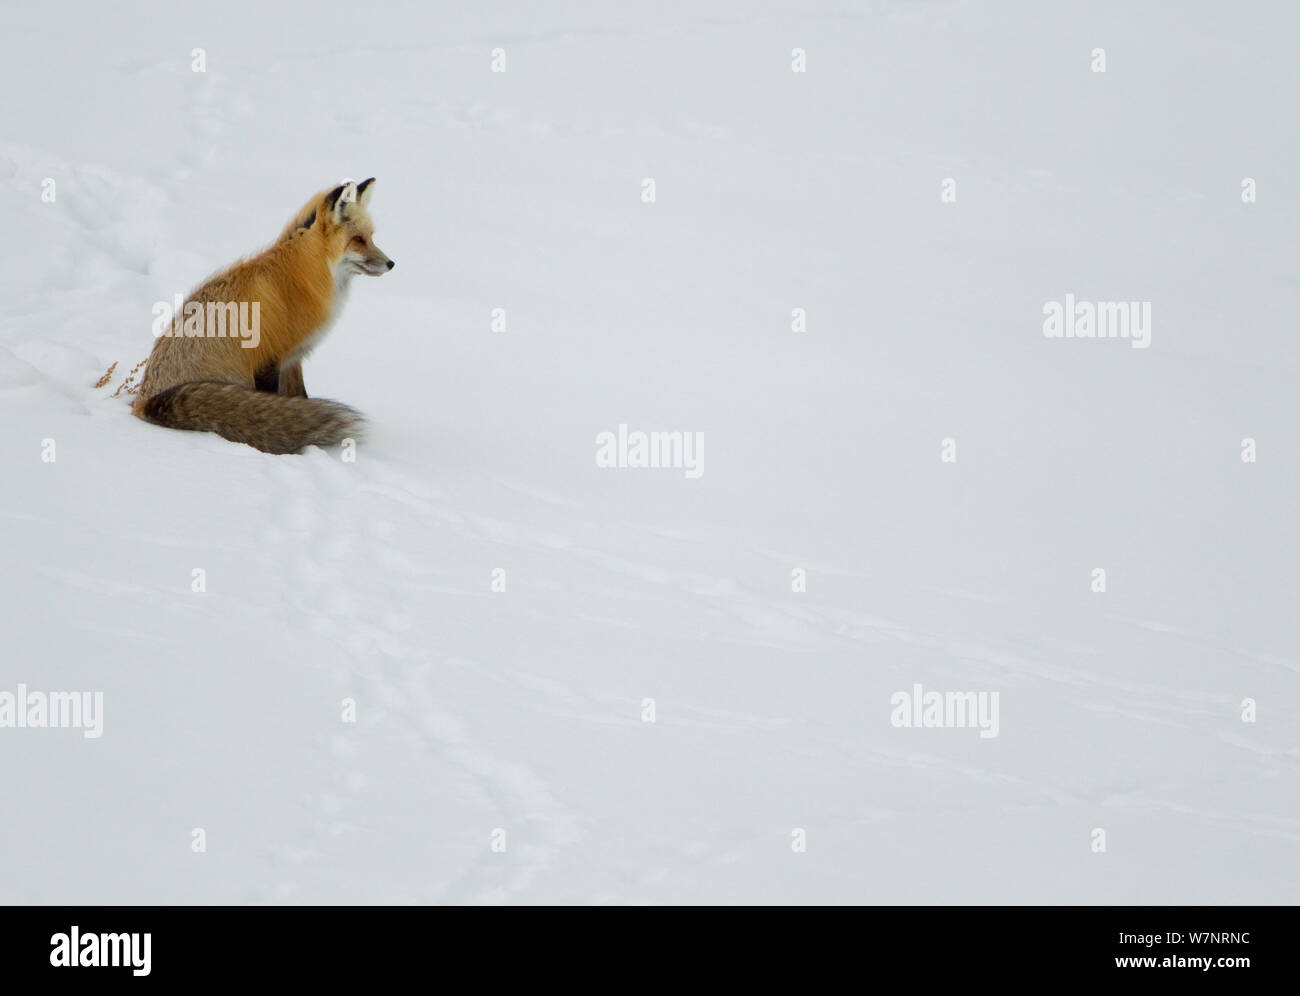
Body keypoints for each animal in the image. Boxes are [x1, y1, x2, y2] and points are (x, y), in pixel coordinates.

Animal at [132, 177, 394, 454]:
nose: (391, 263)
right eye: (358, 239)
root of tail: (142, 404)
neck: (303, 276)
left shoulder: (292, 359)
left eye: (371, 238)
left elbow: (300, 398)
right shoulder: (268, 359)